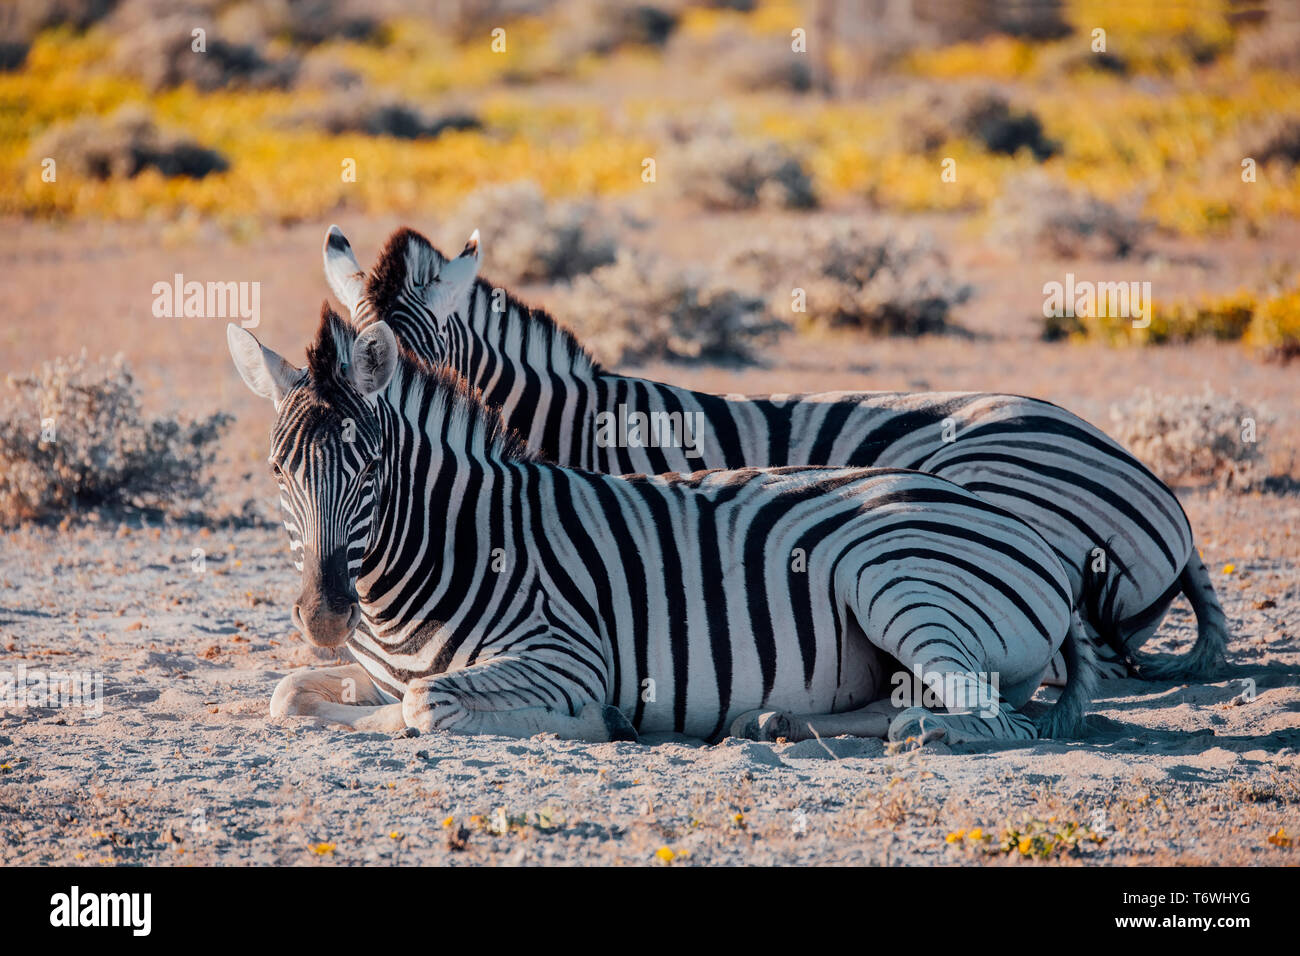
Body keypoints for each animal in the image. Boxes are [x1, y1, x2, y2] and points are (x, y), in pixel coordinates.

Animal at [226, 306, 1100, 744]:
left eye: (369, 469)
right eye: (276, 473)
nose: (324, 617)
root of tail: (1033, 540)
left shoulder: (565, 654)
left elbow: (423, 705)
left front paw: (594, 722)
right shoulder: (373, 668)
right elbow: (290, 695)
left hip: (895, 578)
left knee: (993, 720)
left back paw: (923, 734)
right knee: (909, 701)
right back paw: (778, 720)